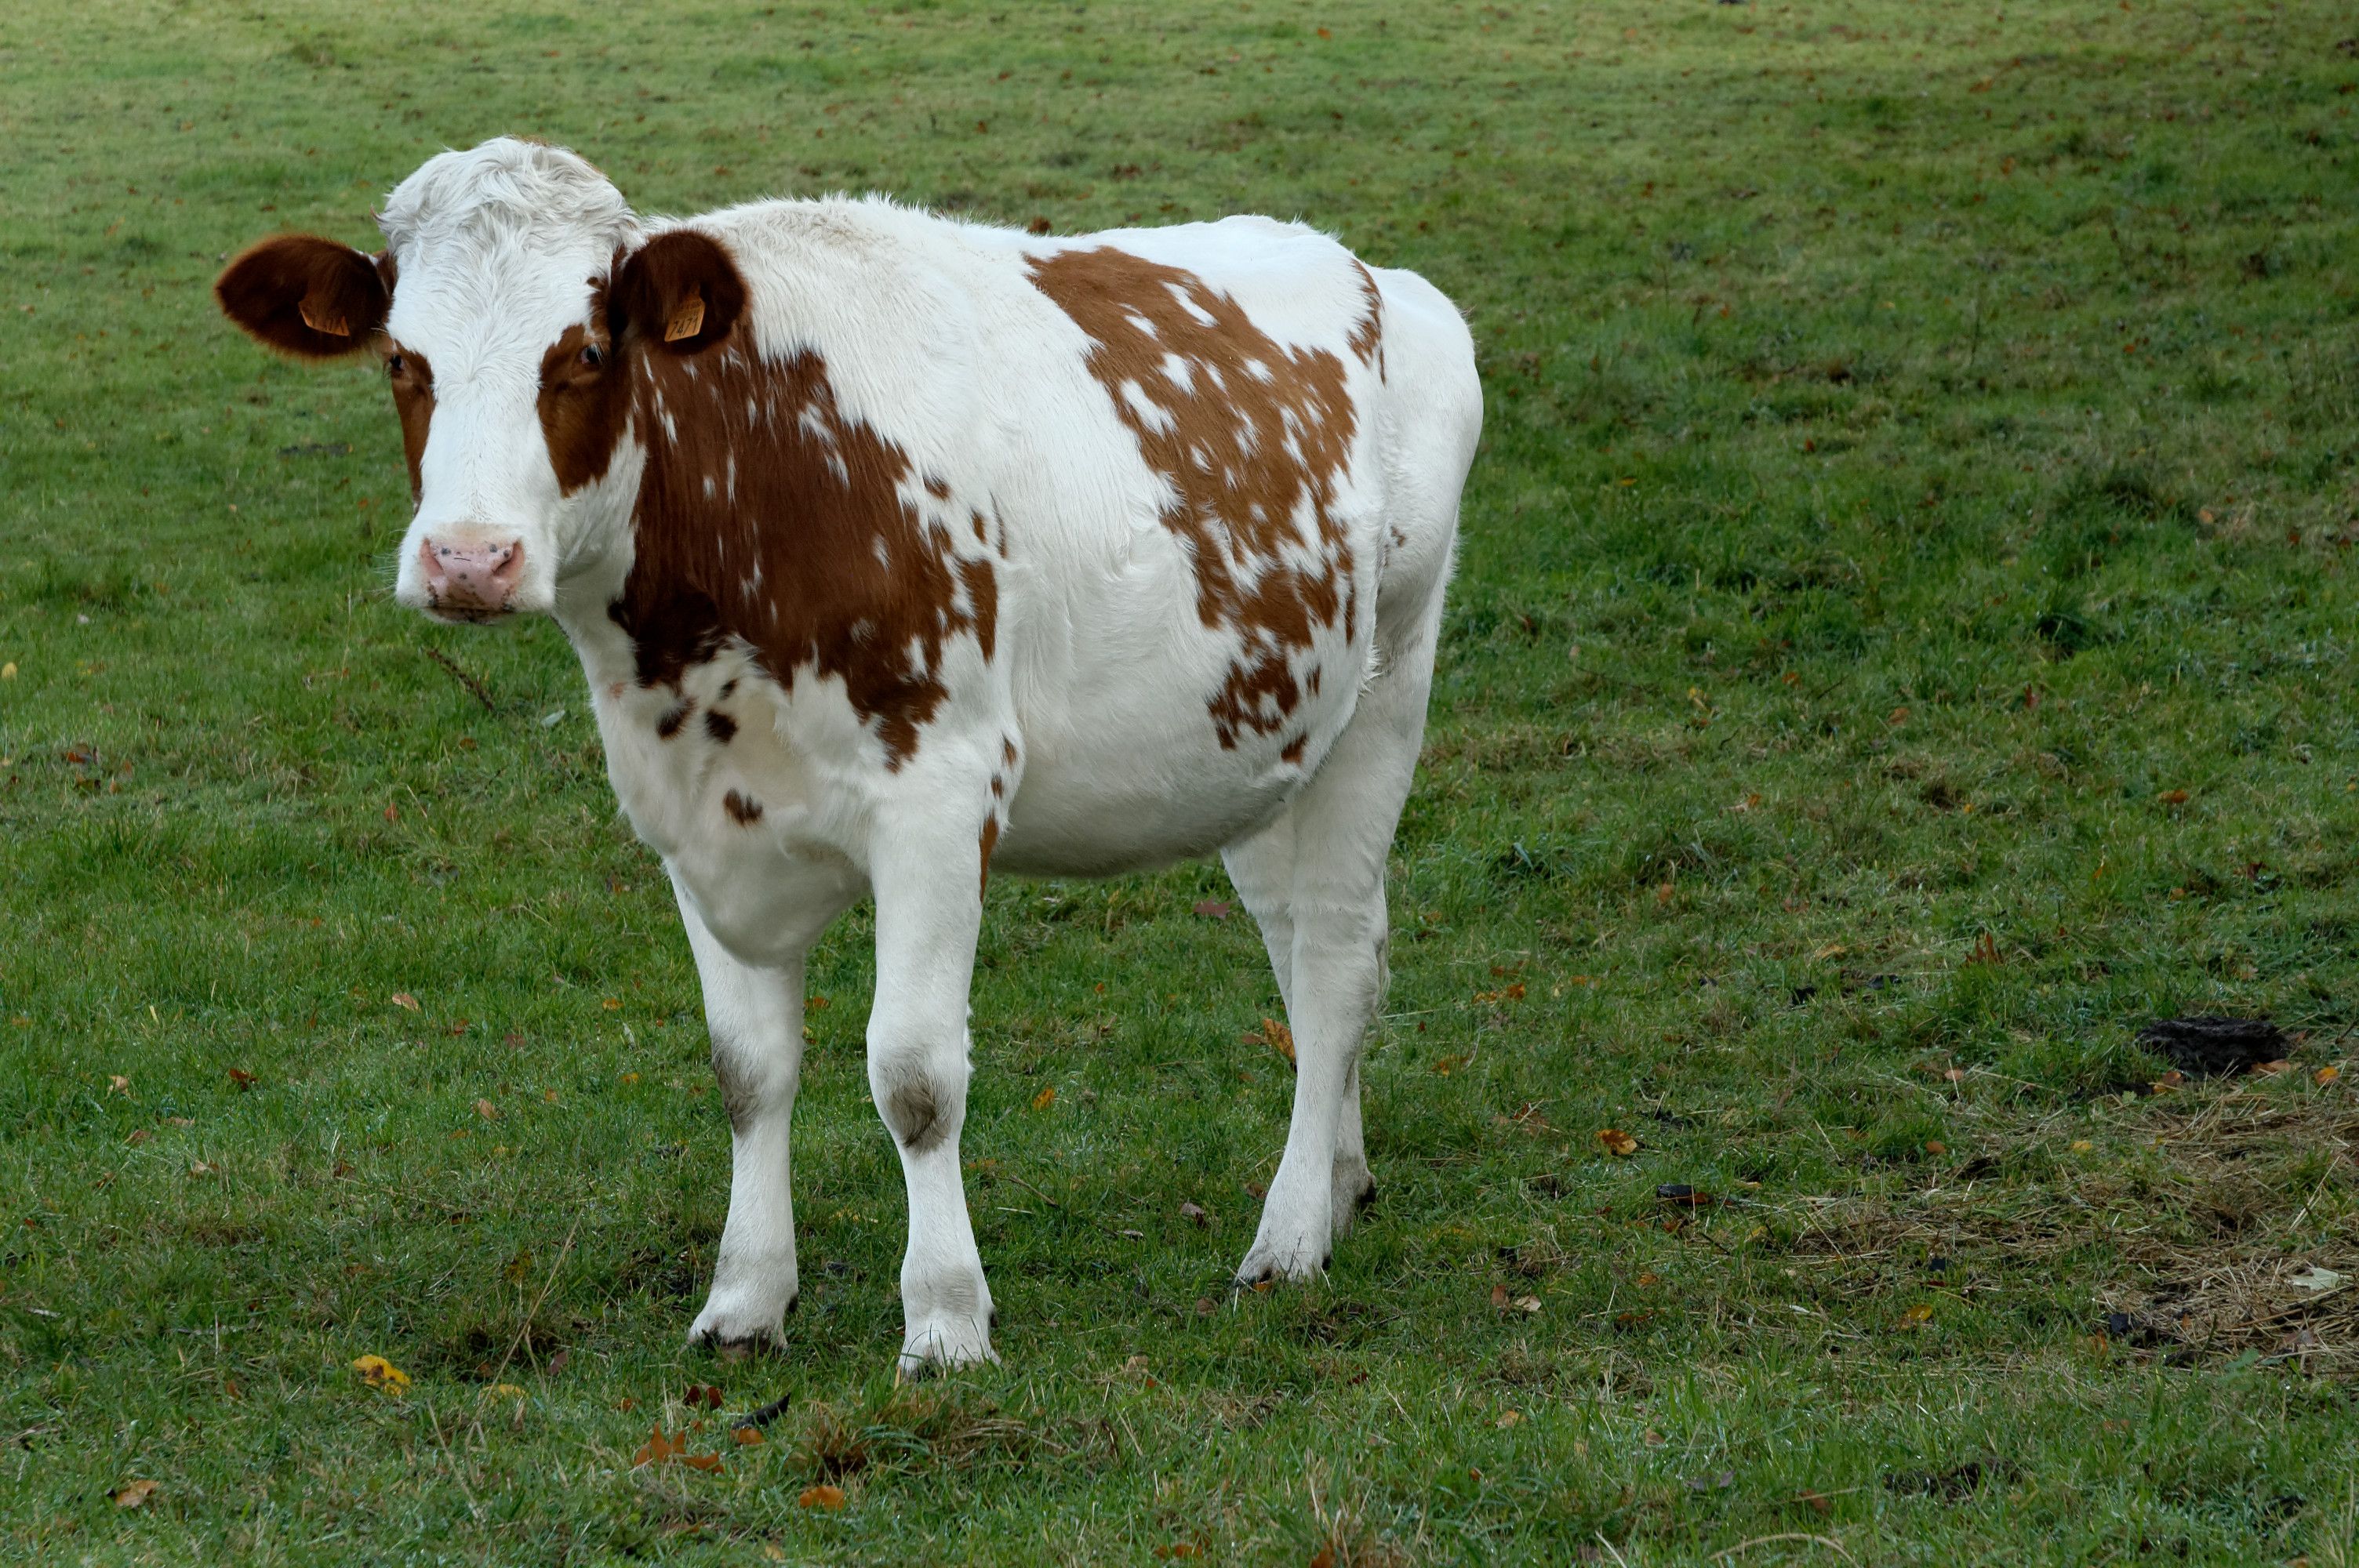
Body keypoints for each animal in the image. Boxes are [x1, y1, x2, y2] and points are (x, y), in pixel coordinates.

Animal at [215, 137, 1481, 1374]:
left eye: (582, 352)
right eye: (400, 360)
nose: (468, 560)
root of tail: (1373, 271)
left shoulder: (940, 793)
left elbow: (913, 1074)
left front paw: (947, 1319)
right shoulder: (693, 819)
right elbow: (746, 1070)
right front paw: (744, 1299)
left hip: (1389, 685)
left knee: (1336, 963)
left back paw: (1290, 1235)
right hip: (1268, 741)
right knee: (1304, 951)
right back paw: (1340, 1180)